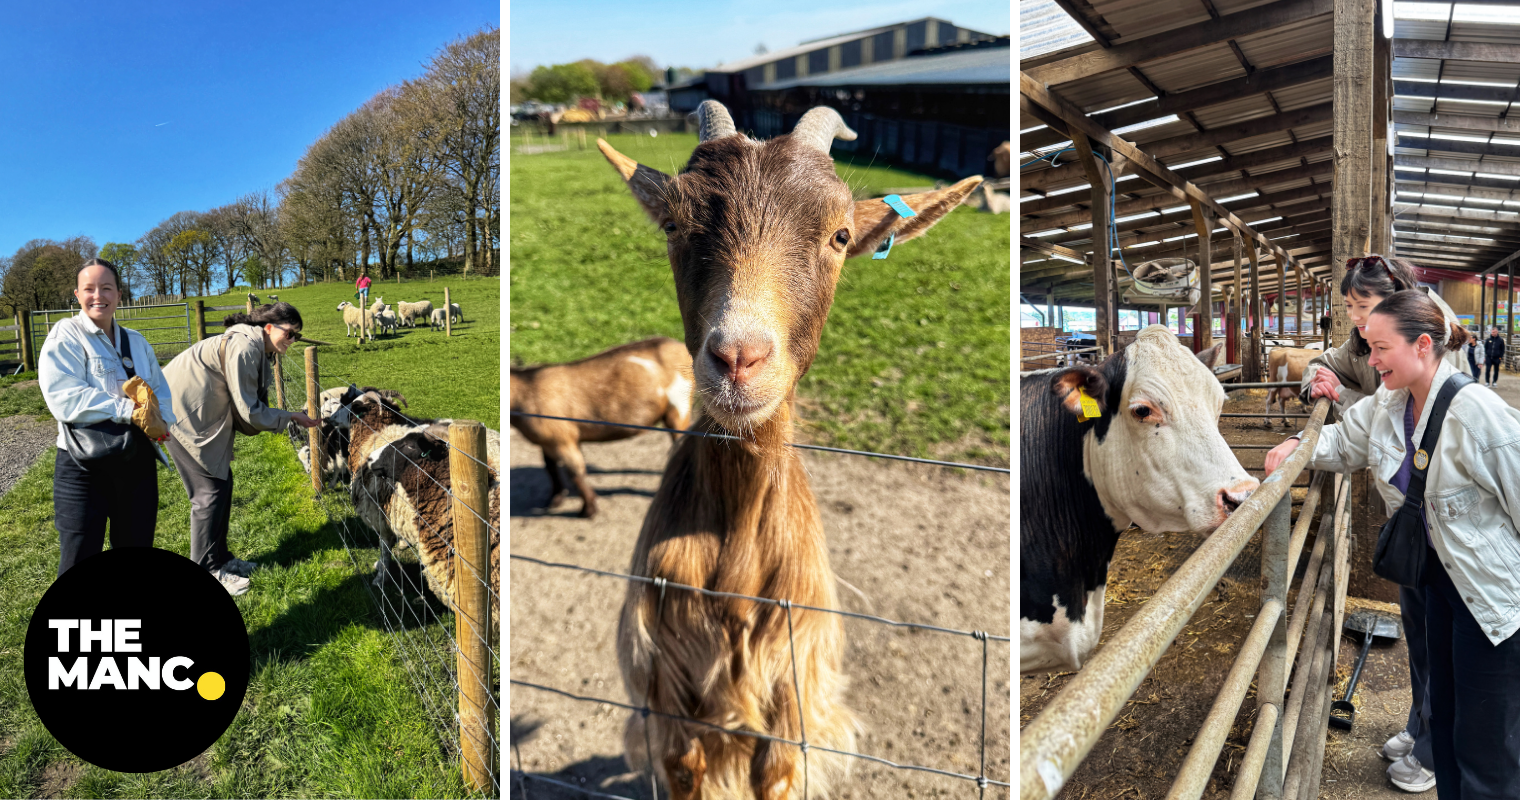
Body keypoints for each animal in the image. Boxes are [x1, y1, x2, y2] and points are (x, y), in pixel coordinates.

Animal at [510, 337, 692, 518]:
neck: (524, 390)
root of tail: (678, 346)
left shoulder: (563, 440)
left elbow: (575, 473)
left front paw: (588, 510)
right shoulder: (548, 442)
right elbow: (550, 468)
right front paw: (556, 500)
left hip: (679, 407)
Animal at [599, 101, 982, 797]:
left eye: (840, 236)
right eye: (672, 222)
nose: (737, 358)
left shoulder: (792, 692)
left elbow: (776, 774)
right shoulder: (668, 693)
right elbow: (683, 767)